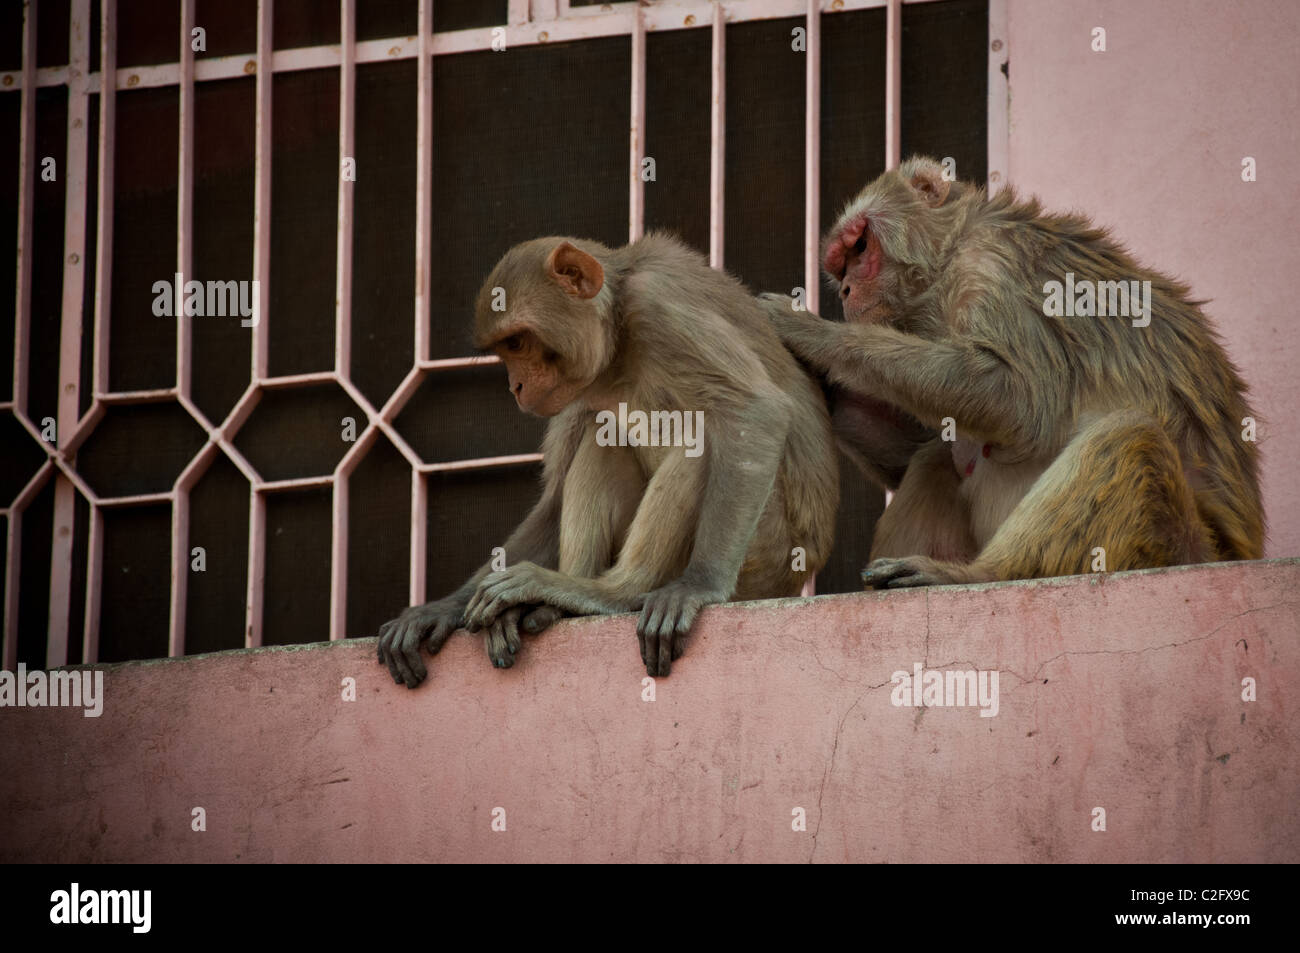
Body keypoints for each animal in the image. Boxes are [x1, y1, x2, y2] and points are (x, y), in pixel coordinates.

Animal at [377, 233, 839, 686]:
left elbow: (756, 411)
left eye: (518, 342)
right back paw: (554, 603)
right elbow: (555, 501)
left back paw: (616, 592)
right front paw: (440, 608)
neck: (619, 336)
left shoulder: (661, 308)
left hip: (764, 552)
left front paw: (699, 585)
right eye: (504, 351)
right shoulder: (578, 392)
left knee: (700, 441)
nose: (516, 386)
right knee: (607, 436)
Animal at [763, 155, 1263, 589]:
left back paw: (976, 574)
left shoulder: (992, 266)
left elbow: (1018, 402)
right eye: (841, 266)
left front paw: (813, 333)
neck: (949, 258)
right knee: (936, 458)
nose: (846, 290)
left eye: (861, 246)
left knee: (1128, 436)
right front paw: (823, 382)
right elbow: (927, 446)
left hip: (1178, 548)